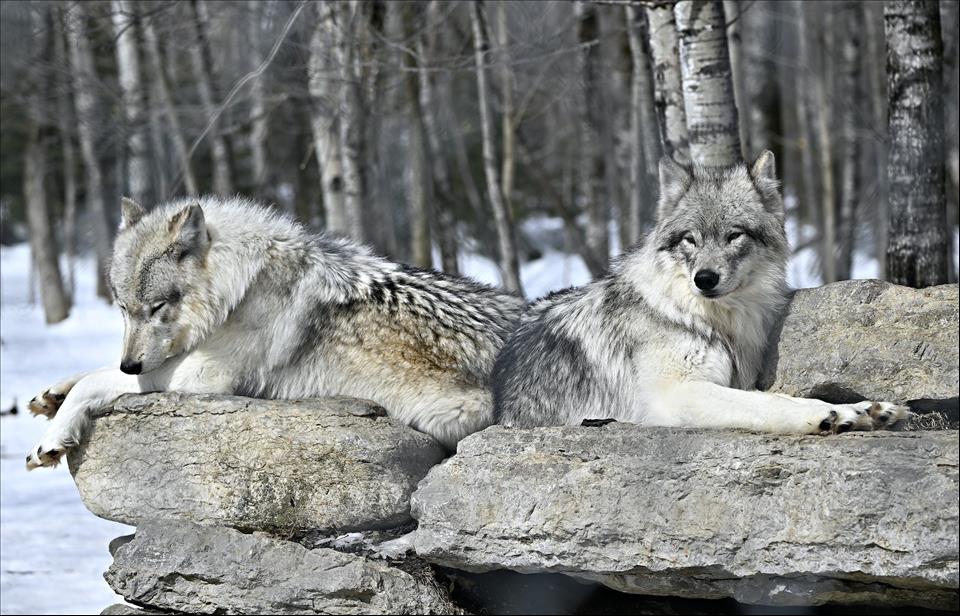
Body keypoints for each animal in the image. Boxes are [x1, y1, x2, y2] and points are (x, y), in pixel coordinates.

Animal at [26, 196, 524, 469]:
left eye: (157, 307)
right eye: (123, 309)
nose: (131, 362)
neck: (238, 289)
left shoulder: (204, 377)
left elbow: (99, 381)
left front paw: (53, 437)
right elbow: (95, 373)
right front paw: (52, 394)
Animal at [493, 151, 909, 434]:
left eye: (734, 235)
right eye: (690, 240)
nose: (704, 279)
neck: (703, 317)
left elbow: (776, 394)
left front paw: (865, 409)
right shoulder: (679, 394)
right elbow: (768, 401)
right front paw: (826, 414)